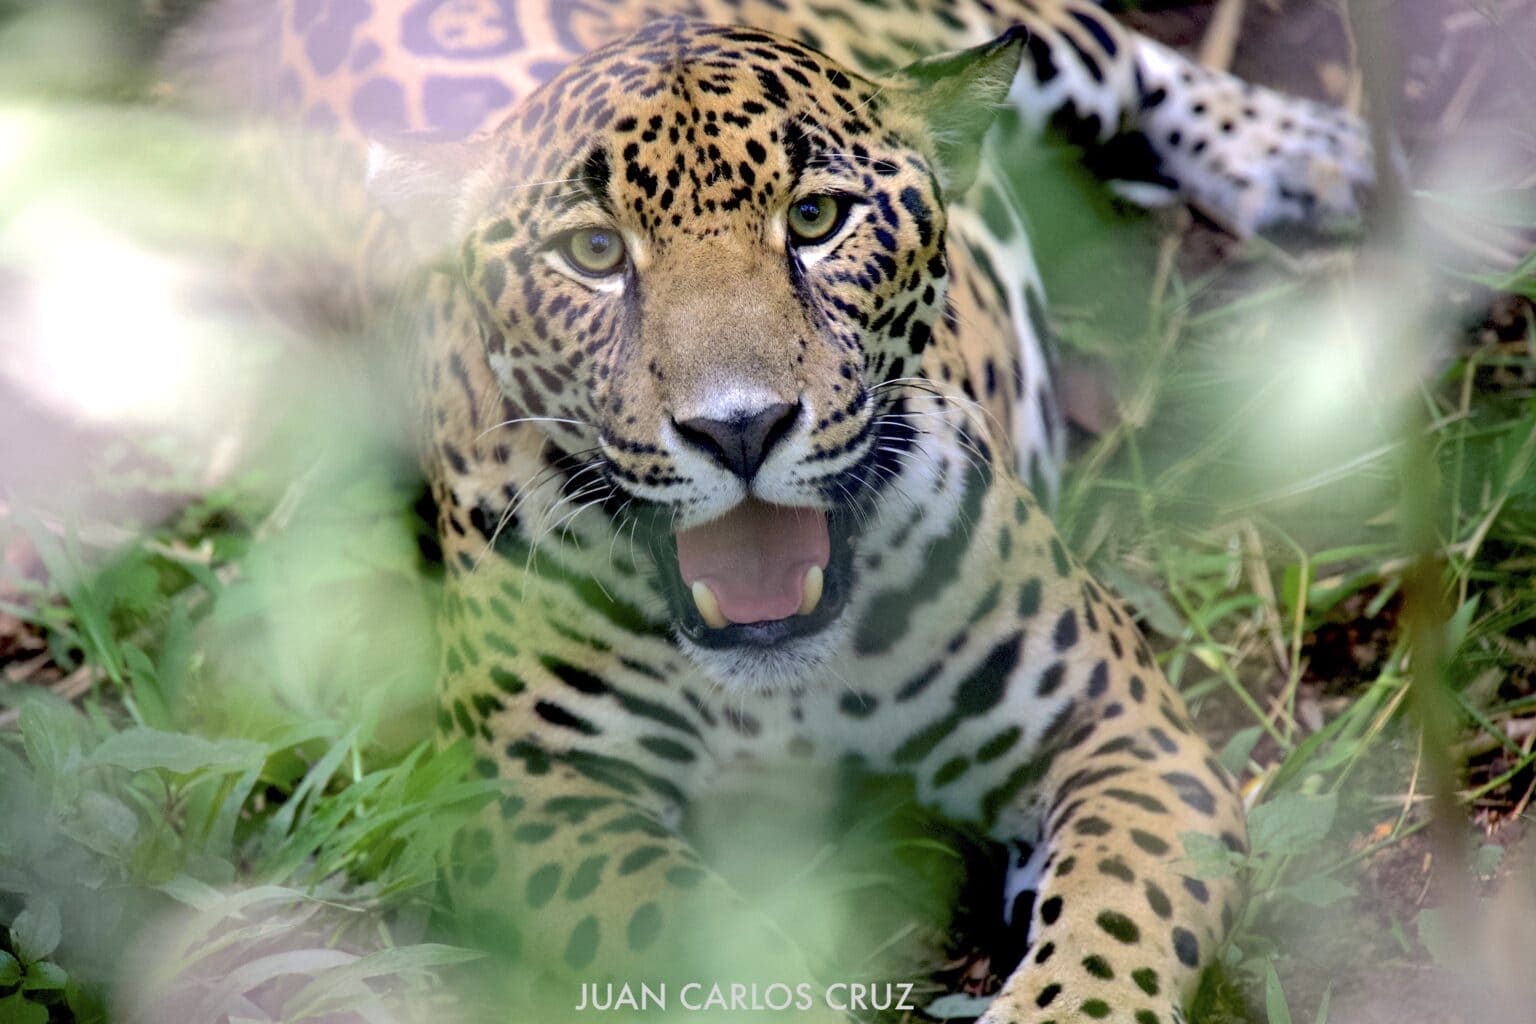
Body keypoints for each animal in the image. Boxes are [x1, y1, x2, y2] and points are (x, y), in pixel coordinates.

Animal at [166, 1, 1376, 1021]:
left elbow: (1110, 938)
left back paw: (1305, 155)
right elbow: (699, 950)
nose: (740, 428)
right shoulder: (541, 803)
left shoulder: (1119, 728)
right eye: (592, 252)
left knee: (1118, 53)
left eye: (817, 218)